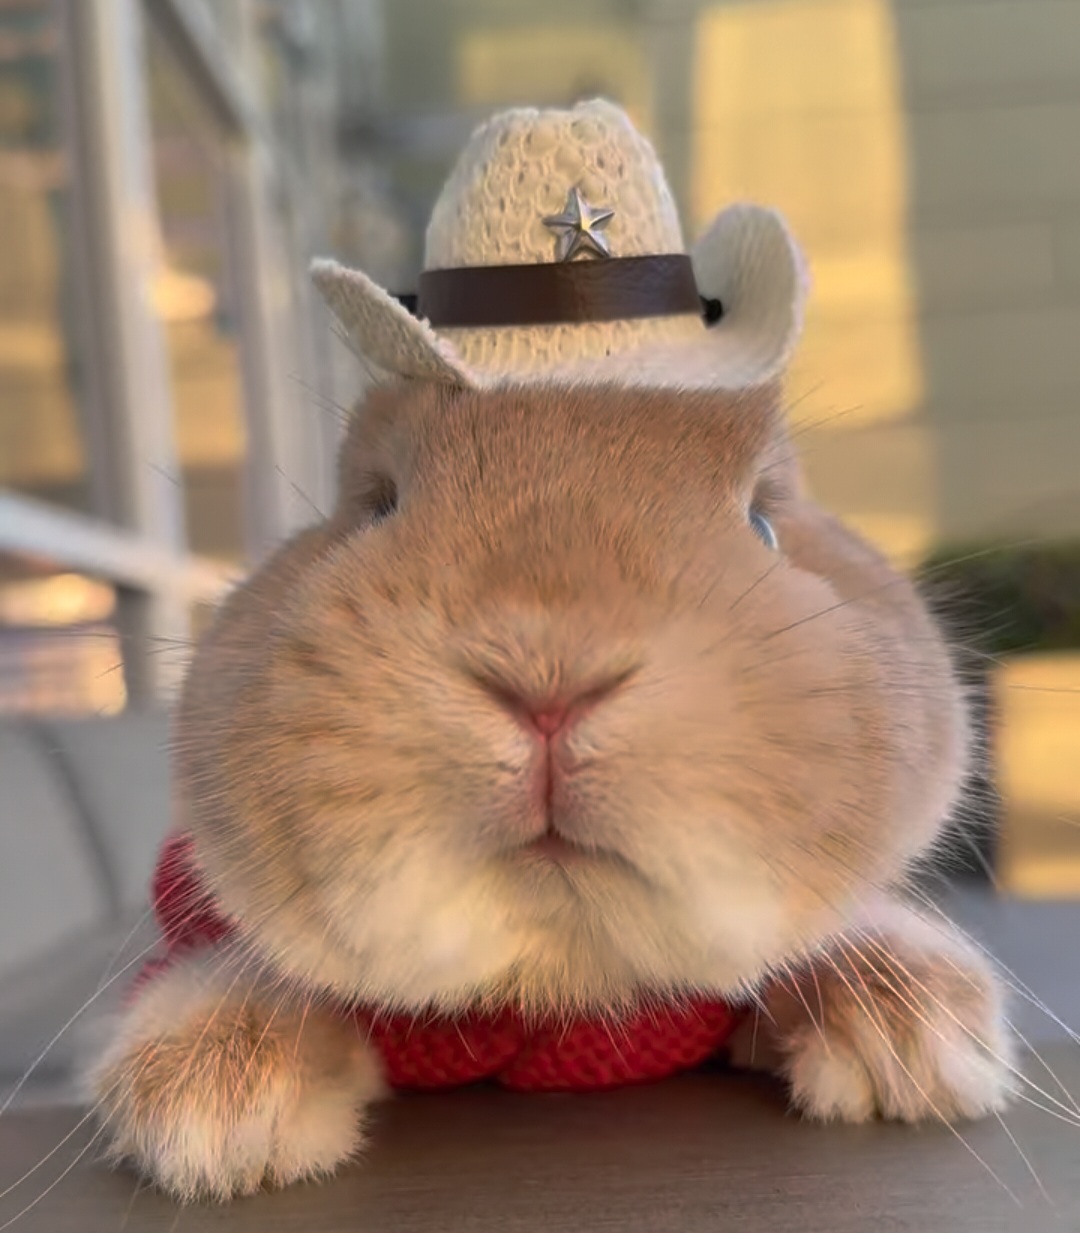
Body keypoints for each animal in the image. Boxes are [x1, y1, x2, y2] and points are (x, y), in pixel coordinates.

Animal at [85, 379, 1015, 1202]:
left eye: (762, 521)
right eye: (376, 504)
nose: (549, 680)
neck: (554, 985)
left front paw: (915, 1038)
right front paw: (218, 1106)